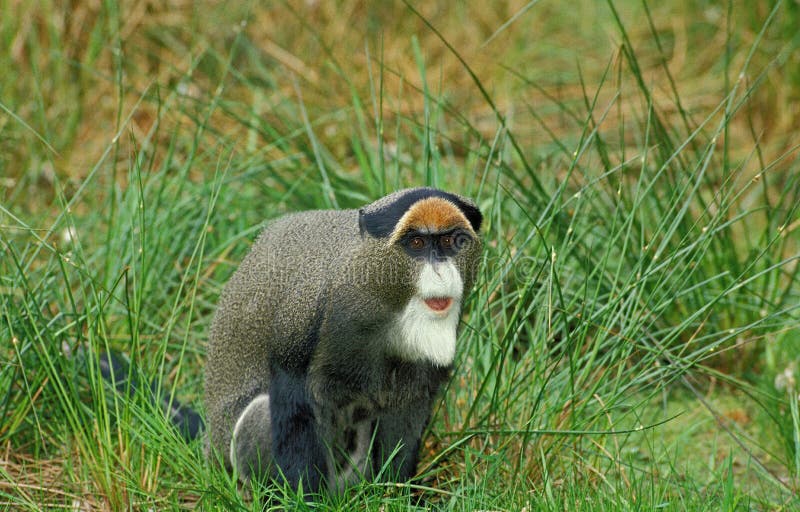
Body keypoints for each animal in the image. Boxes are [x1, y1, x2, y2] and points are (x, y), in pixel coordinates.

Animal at [204, 187, 483, 494]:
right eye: (417, 242)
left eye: (450, 240)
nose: (441, 270)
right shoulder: (305, 322)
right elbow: (297, 400)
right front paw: (306, 498)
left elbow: (408, 407)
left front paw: (399, 491)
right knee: (262, 411)